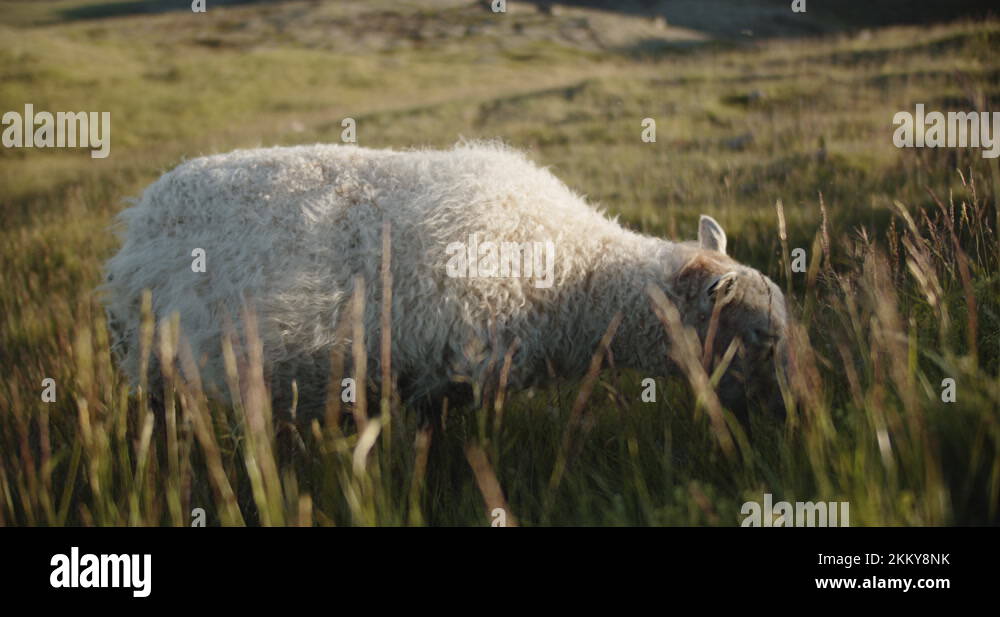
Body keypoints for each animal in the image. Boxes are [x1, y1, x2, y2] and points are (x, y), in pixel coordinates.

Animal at [102, 141, 789, 422]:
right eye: (760, 338)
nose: (788, 419)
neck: (580, 279)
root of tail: (140, 213)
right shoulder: (451, 371)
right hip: (155, 364)